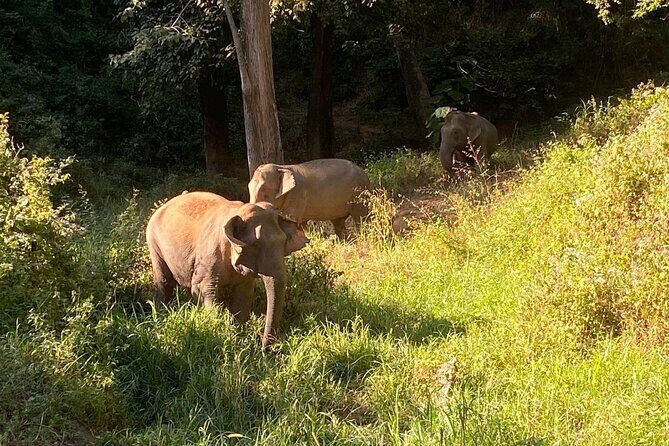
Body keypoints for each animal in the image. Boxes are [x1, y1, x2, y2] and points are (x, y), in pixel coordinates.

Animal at [146, 191, 309, 347]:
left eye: (283, 243)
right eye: (256, 245)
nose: (263, 348)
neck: (238, 211)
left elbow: (242, 296)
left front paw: (238, 336)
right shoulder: (209, 257)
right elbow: (204, 290)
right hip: (154, 243)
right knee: (164, 283)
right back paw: (159, 315)